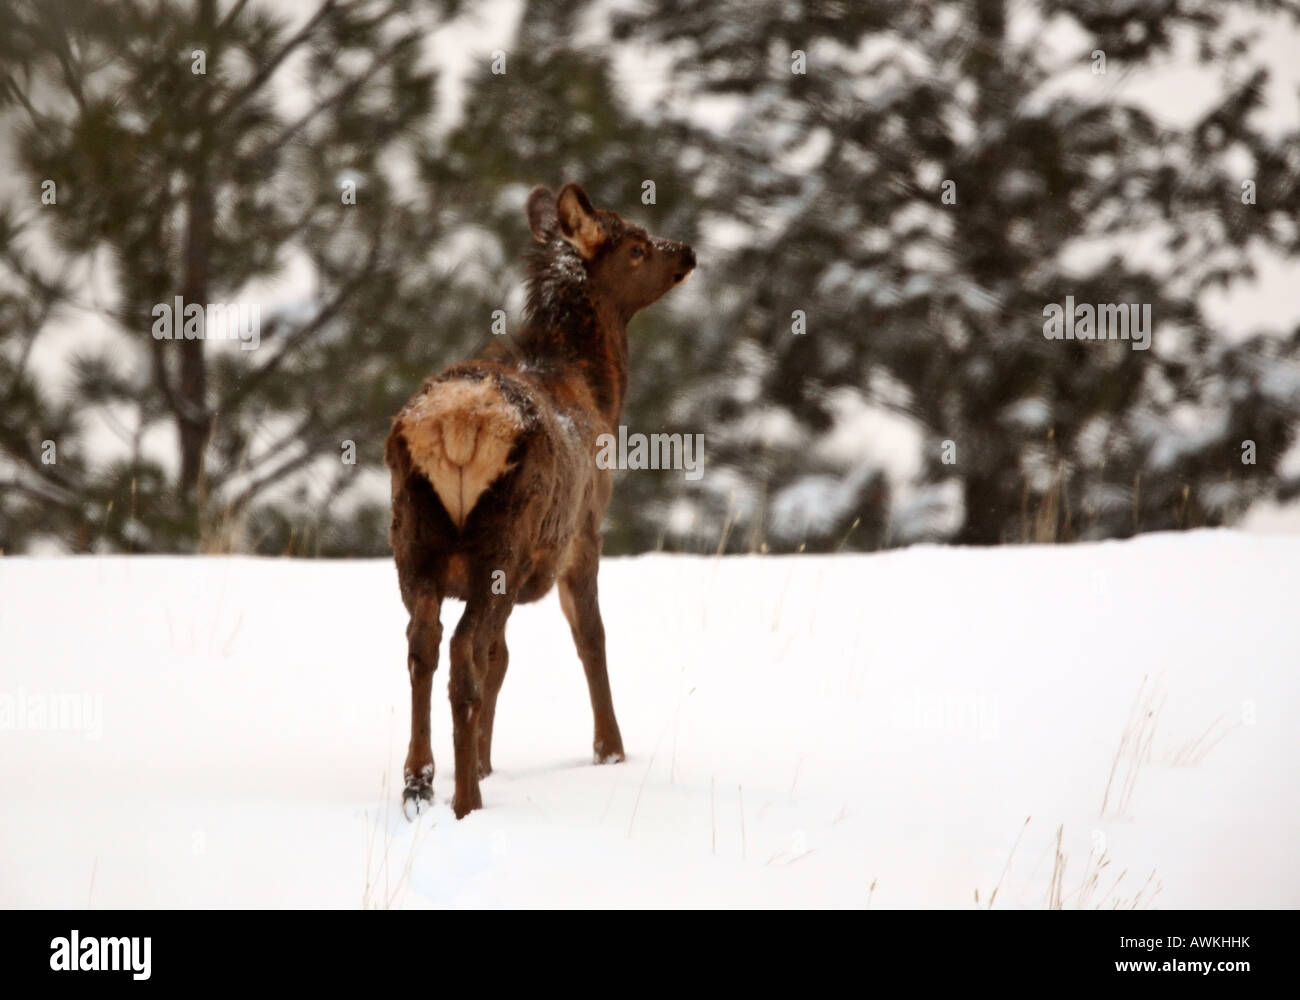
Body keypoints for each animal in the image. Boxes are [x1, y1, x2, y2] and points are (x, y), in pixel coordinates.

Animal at [385, 183, 696, 819]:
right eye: (635, 246)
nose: (686, 251)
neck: (600, 395)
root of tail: (456, 427)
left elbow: (501, 660)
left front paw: (484, 759)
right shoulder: (584, 530)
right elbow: (590, 637)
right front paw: (610, 751)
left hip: (413, 543)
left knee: (424, 644)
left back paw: (420, 781)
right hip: (502, 542)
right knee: (463, 650)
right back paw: (466, 799)